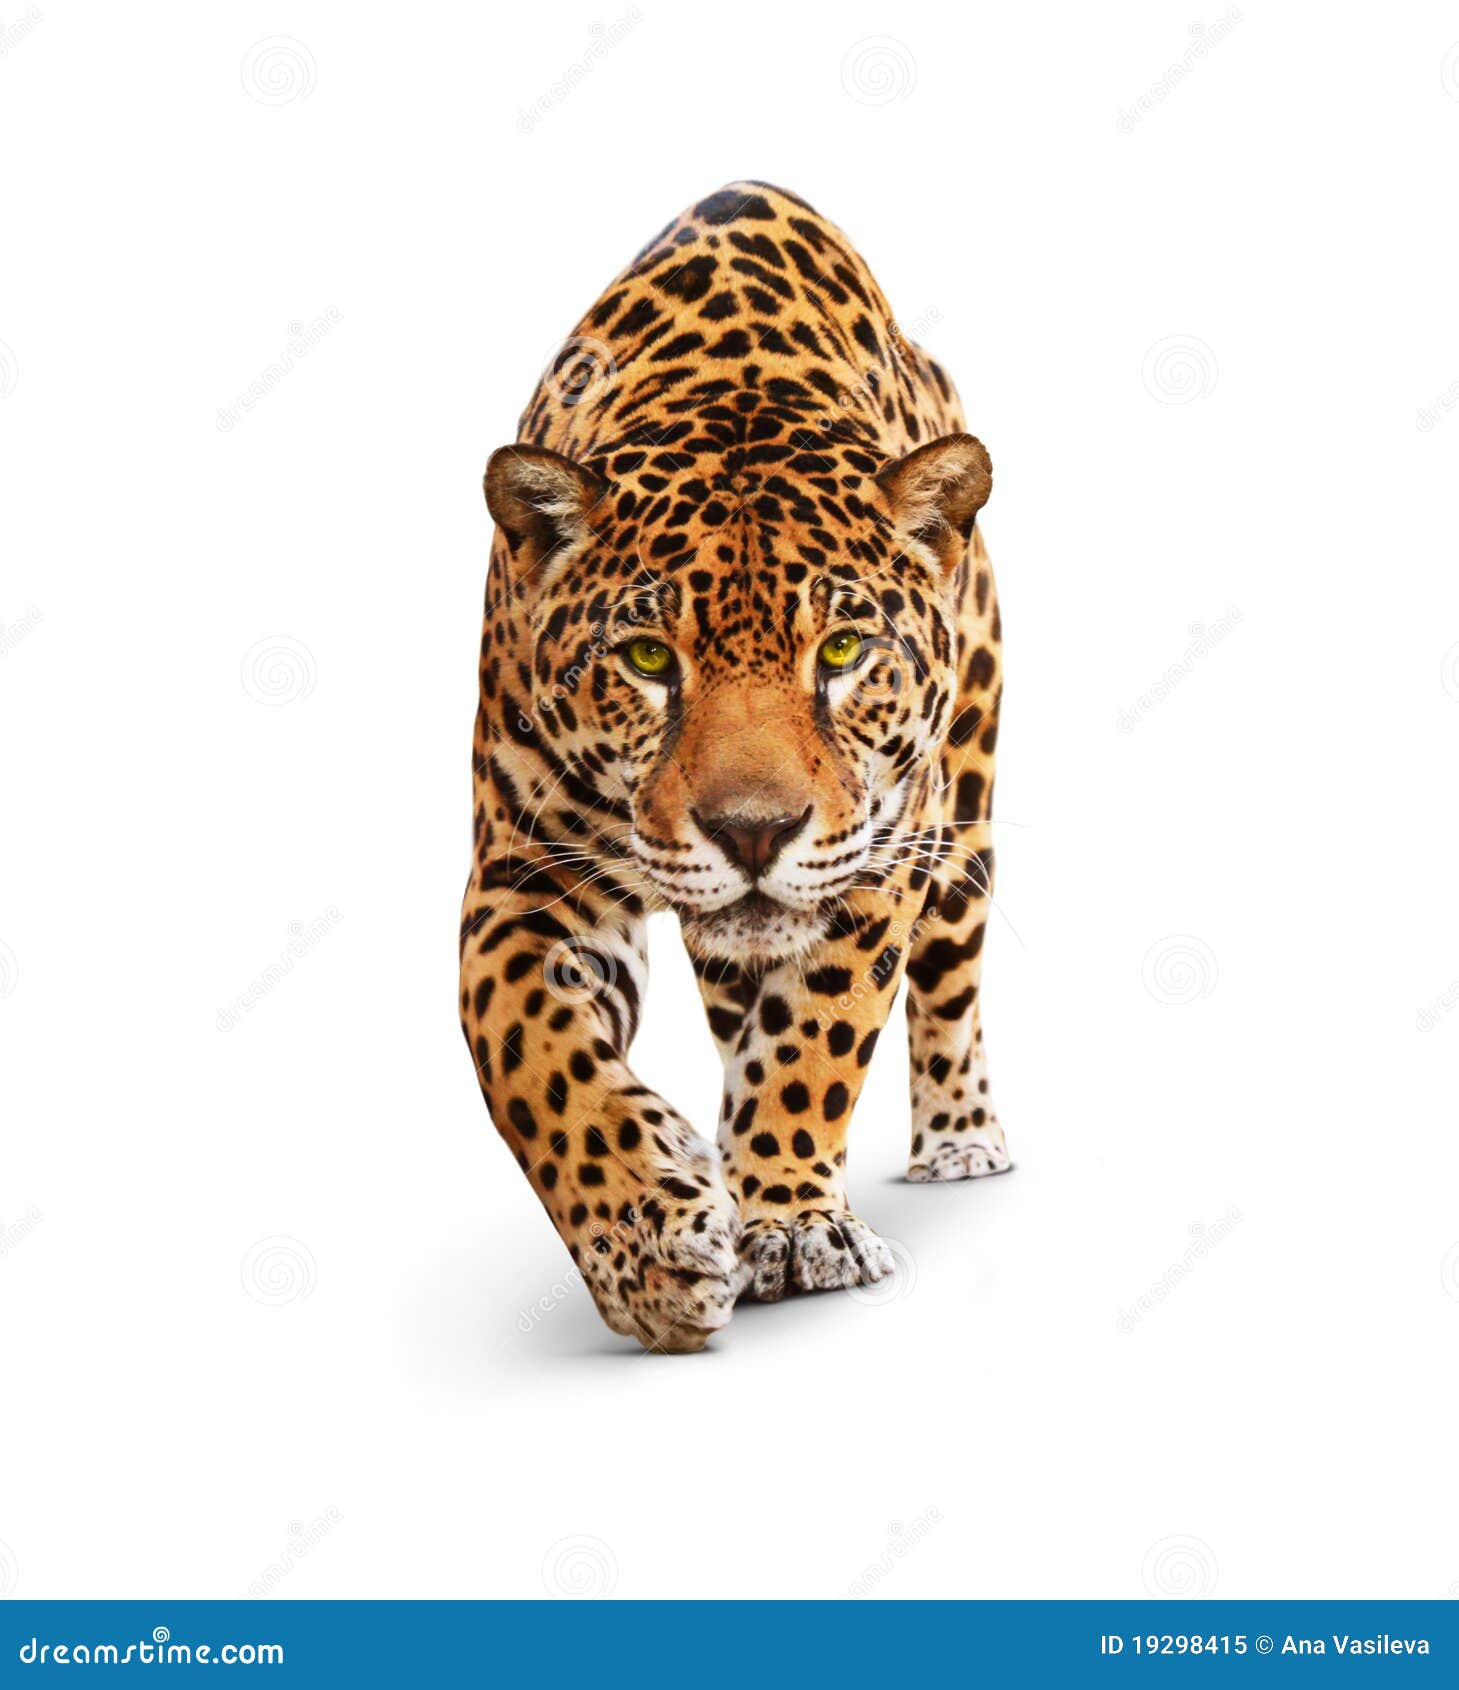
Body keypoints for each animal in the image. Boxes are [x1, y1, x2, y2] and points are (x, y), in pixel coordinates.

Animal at [460, 181, 1010, 1353]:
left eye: (841, 653)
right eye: (646, 659)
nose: (752, 832)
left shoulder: (879, 851)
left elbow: (817, 1037)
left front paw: (793, 1226)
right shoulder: (523, 876)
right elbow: (532, 1057)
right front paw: (648, 1247)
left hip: (966, 817)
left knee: (947, 982)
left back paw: (958, 1138)